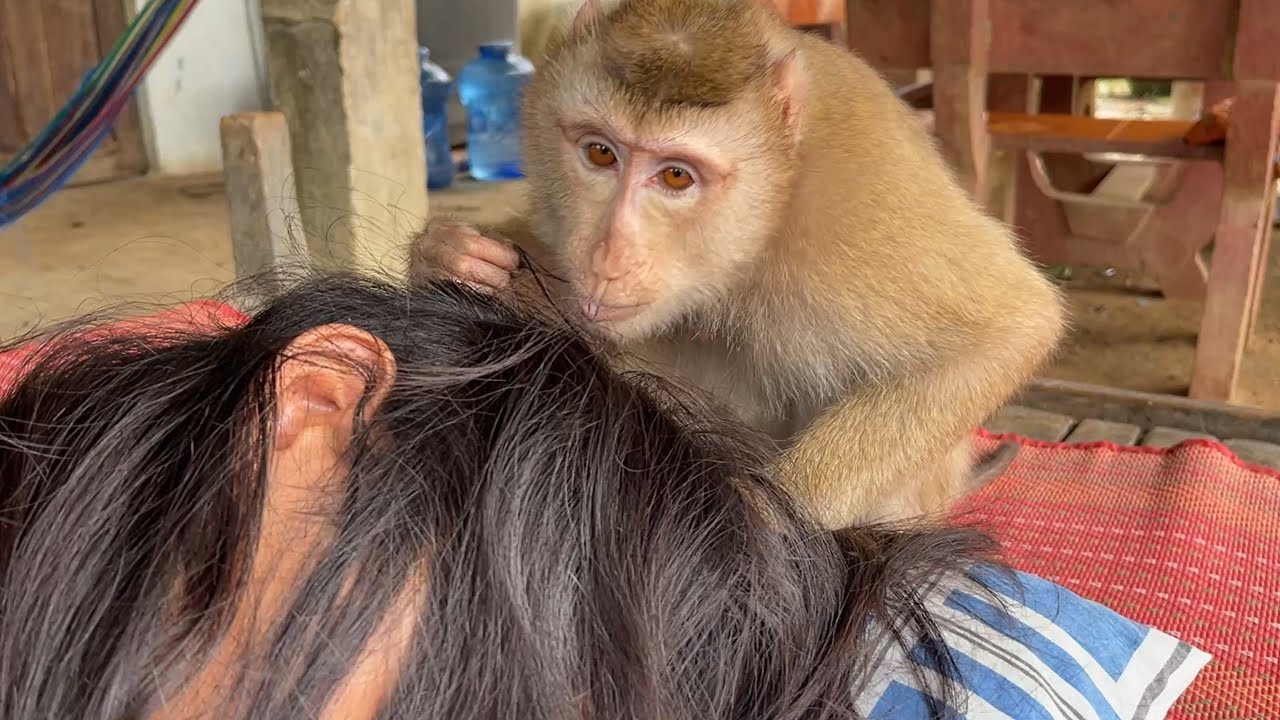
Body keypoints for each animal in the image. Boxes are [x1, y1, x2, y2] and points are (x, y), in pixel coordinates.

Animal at [410, 0, 1063, 528]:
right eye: (600, 152)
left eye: (677, 176)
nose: (608, 257)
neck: (771, 207)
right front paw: (447, 253)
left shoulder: (863, 201)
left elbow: (1009, 329)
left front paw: (761, 526)